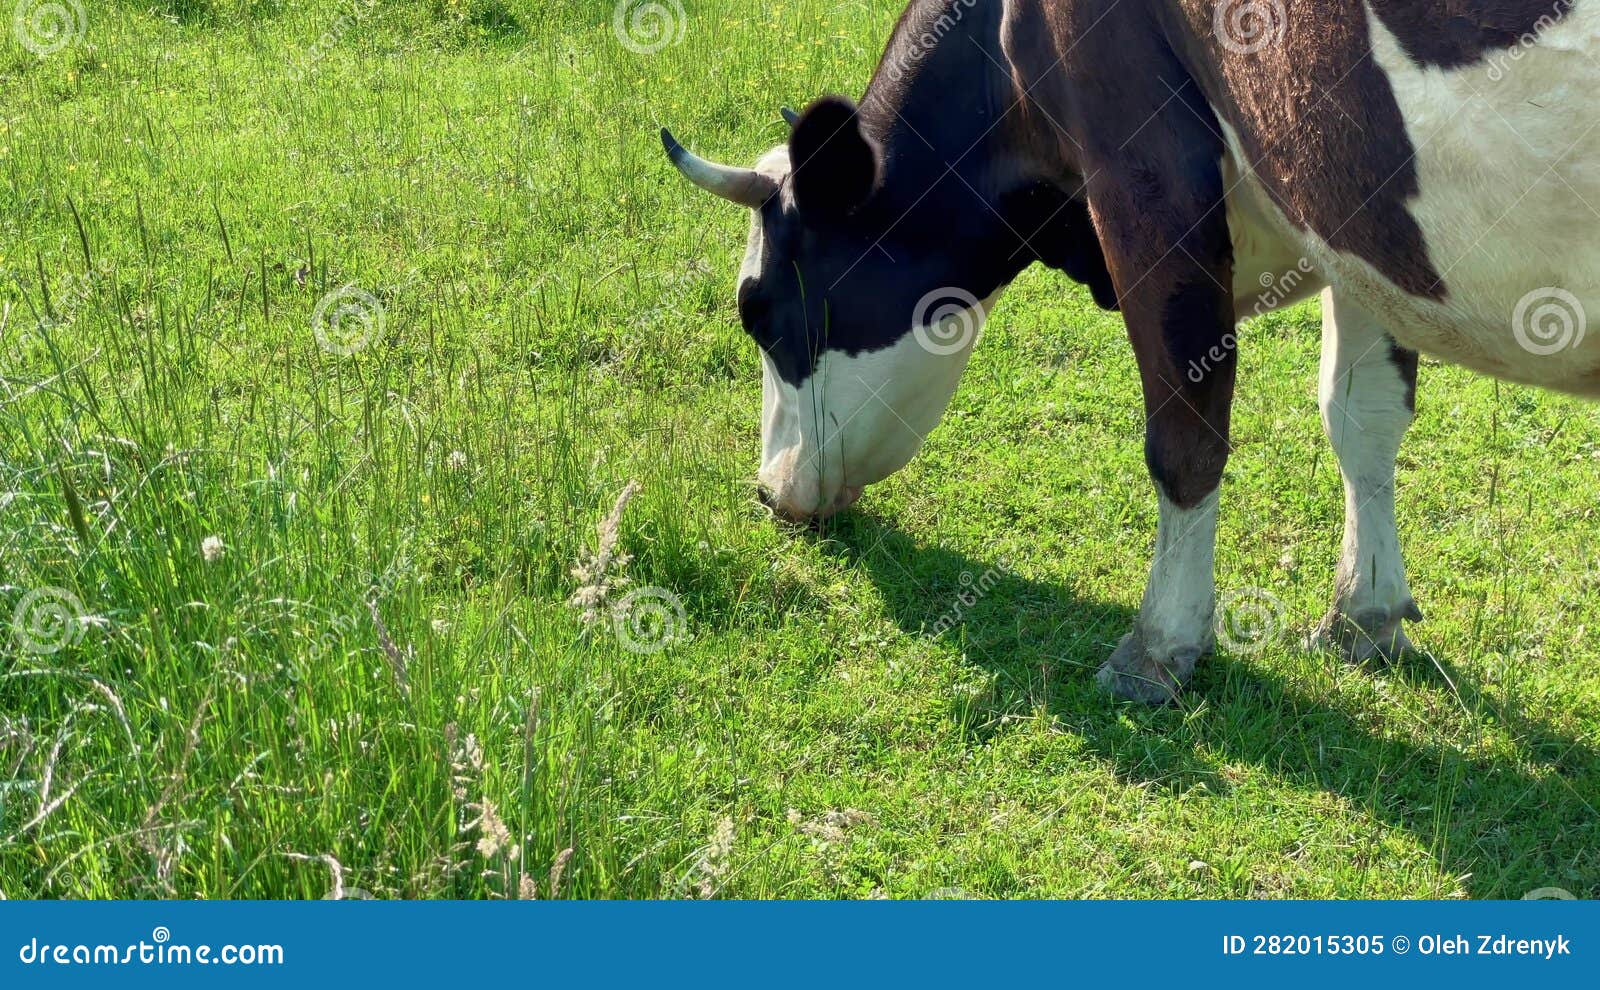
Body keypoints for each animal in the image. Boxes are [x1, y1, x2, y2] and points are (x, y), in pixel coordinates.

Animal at [660, 0, 1599, 703]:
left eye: (758, 311)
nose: (771, 489)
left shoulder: (1141, 163)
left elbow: (1184, 430)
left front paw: (1160, 645)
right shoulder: (1350, 215)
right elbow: (1361, 417)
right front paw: (1365, 614)